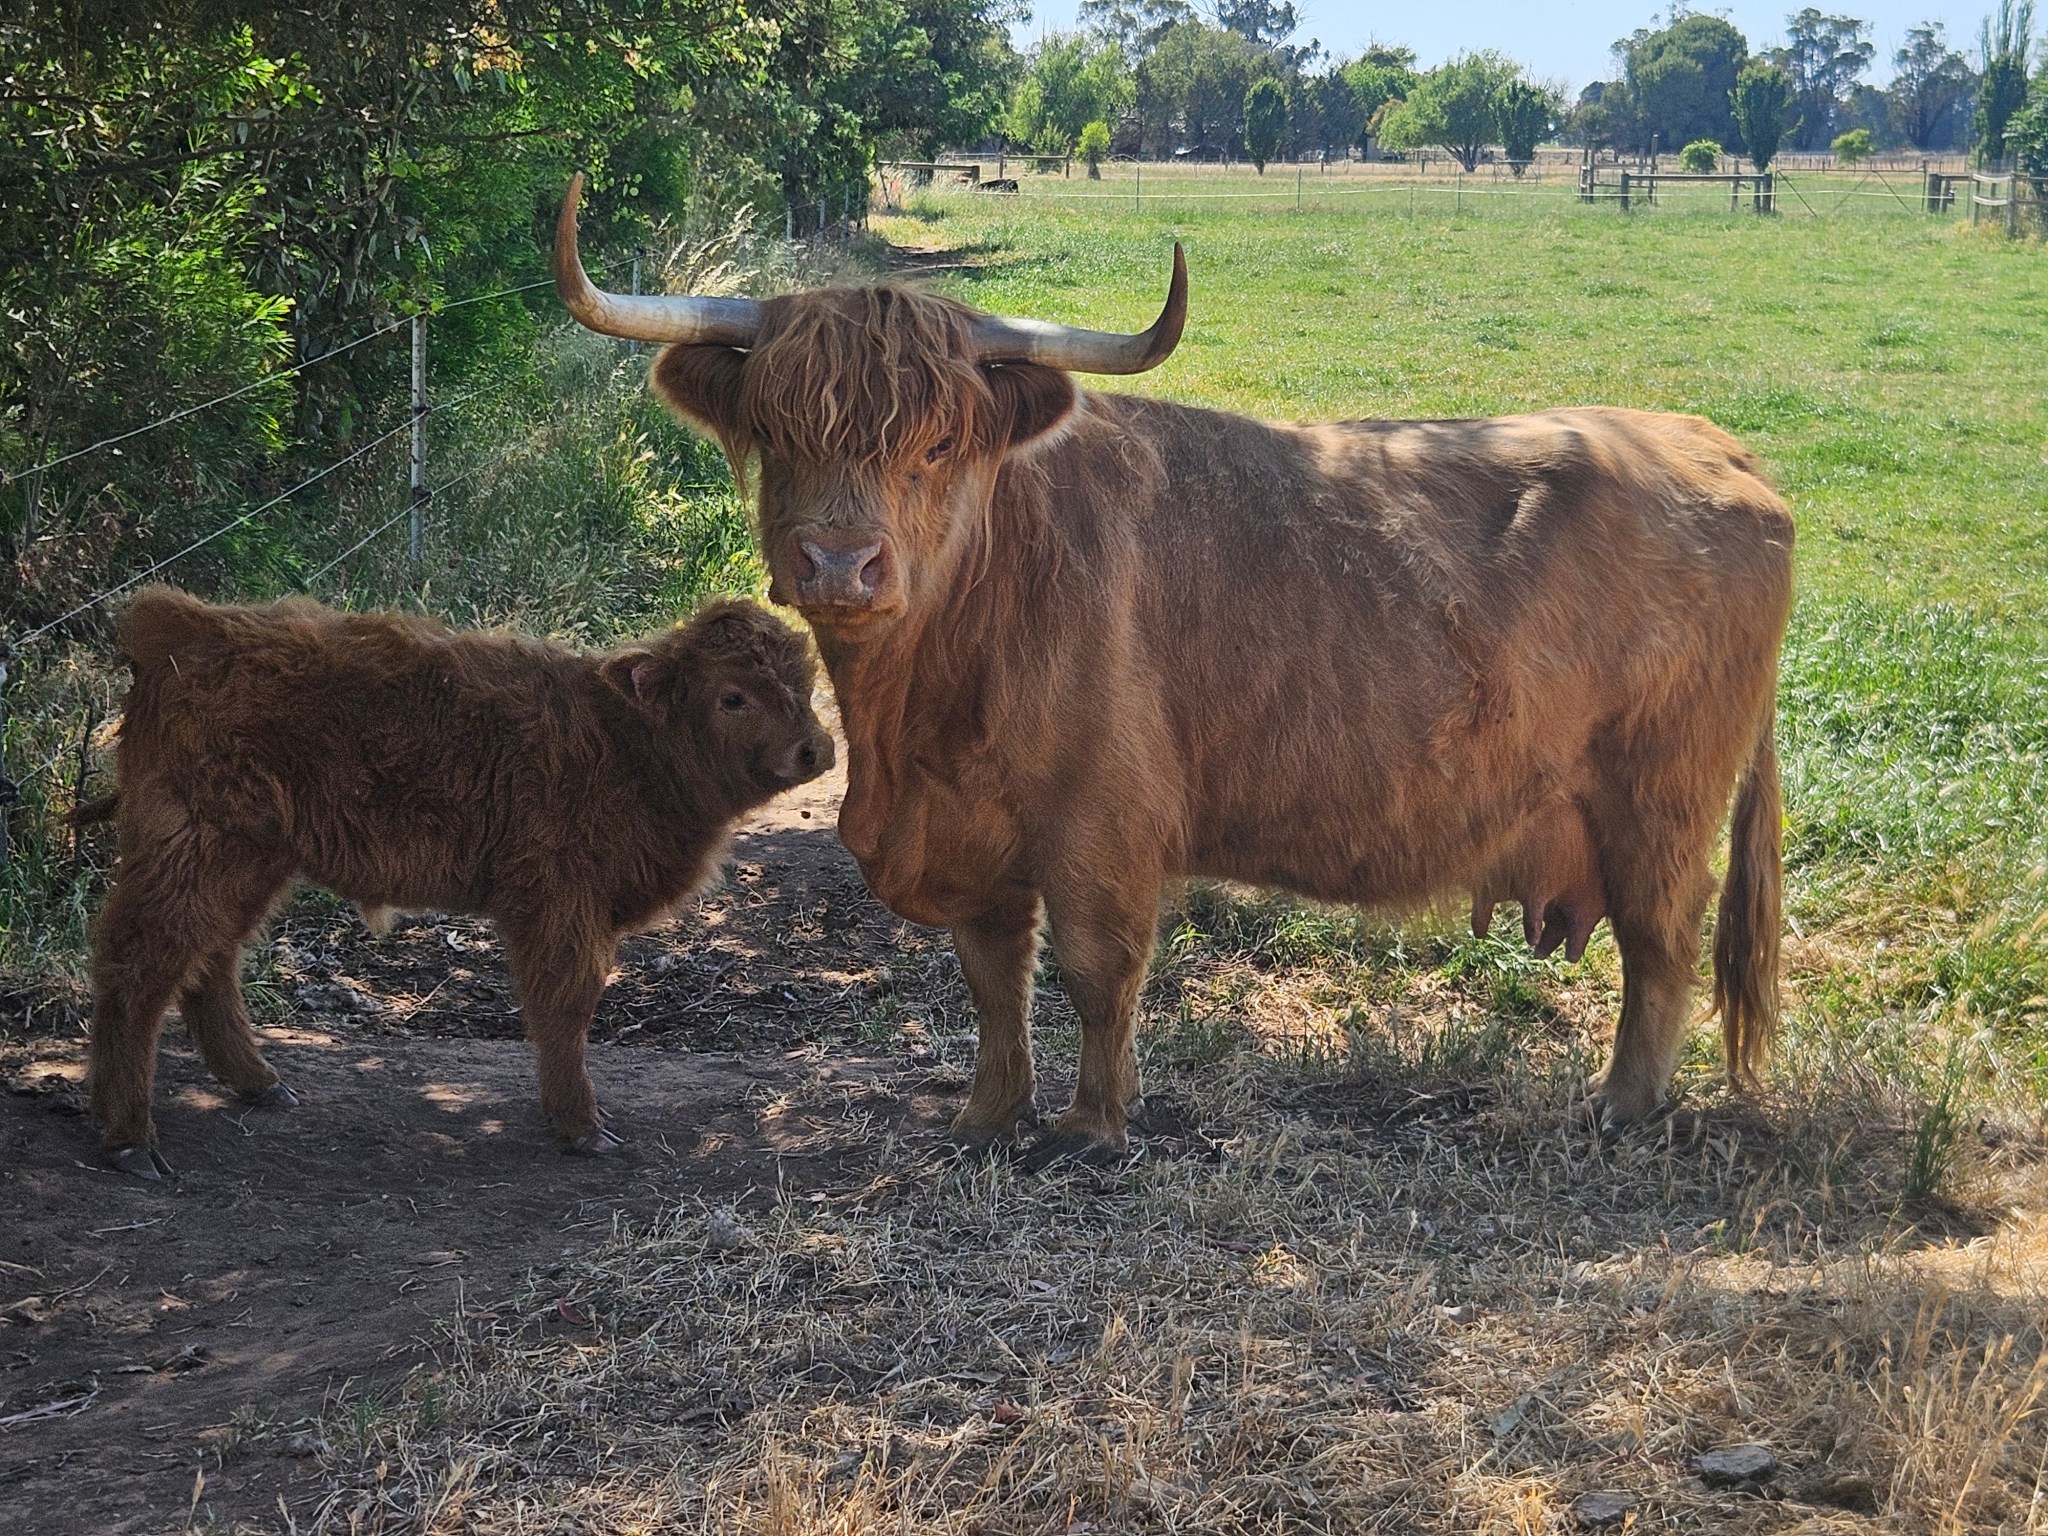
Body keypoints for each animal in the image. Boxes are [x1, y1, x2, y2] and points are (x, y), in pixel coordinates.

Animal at [83, 586, 832, 1177]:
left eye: (804, 682)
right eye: (733, 696)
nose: (816, 749)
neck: (625, 743)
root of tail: (187, 624)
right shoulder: (559, 903)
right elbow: (567, 1007)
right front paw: (582, 1127)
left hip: (250, 862)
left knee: (208, 960)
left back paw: (259, 1085)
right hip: (200, 854)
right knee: (139, 963)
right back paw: (129, 1140)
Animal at [553, 174, 1792, 1166]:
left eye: (939, 442)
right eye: (773, 429)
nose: (838, 562)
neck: (917, 715)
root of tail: (1715, 450)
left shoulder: (1101, 822)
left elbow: (1095, 973)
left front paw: (1092, 1128)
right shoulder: (978, 842)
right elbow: (991, 982)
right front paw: (984, 1117)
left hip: (1658, 803)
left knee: (1661, 948)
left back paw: (1618, 1109)